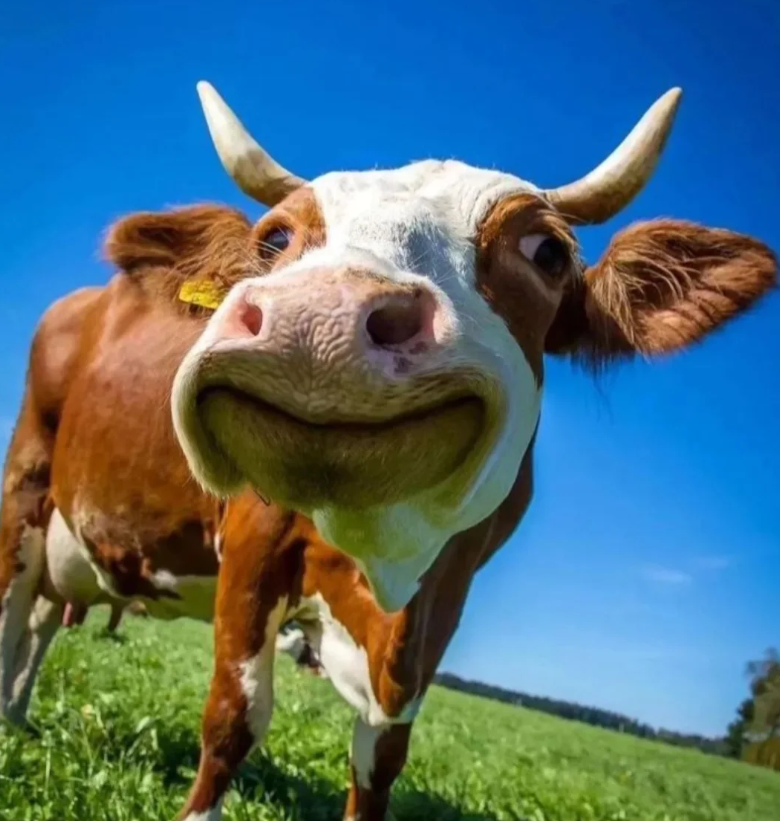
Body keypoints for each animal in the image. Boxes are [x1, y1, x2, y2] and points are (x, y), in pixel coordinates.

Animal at [0, 80, 775, 821]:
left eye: (547, 252)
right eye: (274, 240)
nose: (318, 319)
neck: (384, 566)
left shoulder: (442, 604)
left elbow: (380, 759)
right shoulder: (252, 545)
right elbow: (234, 716)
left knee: (40, 619)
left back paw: (17, 715)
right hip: (26, 485)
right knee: (15, 604)